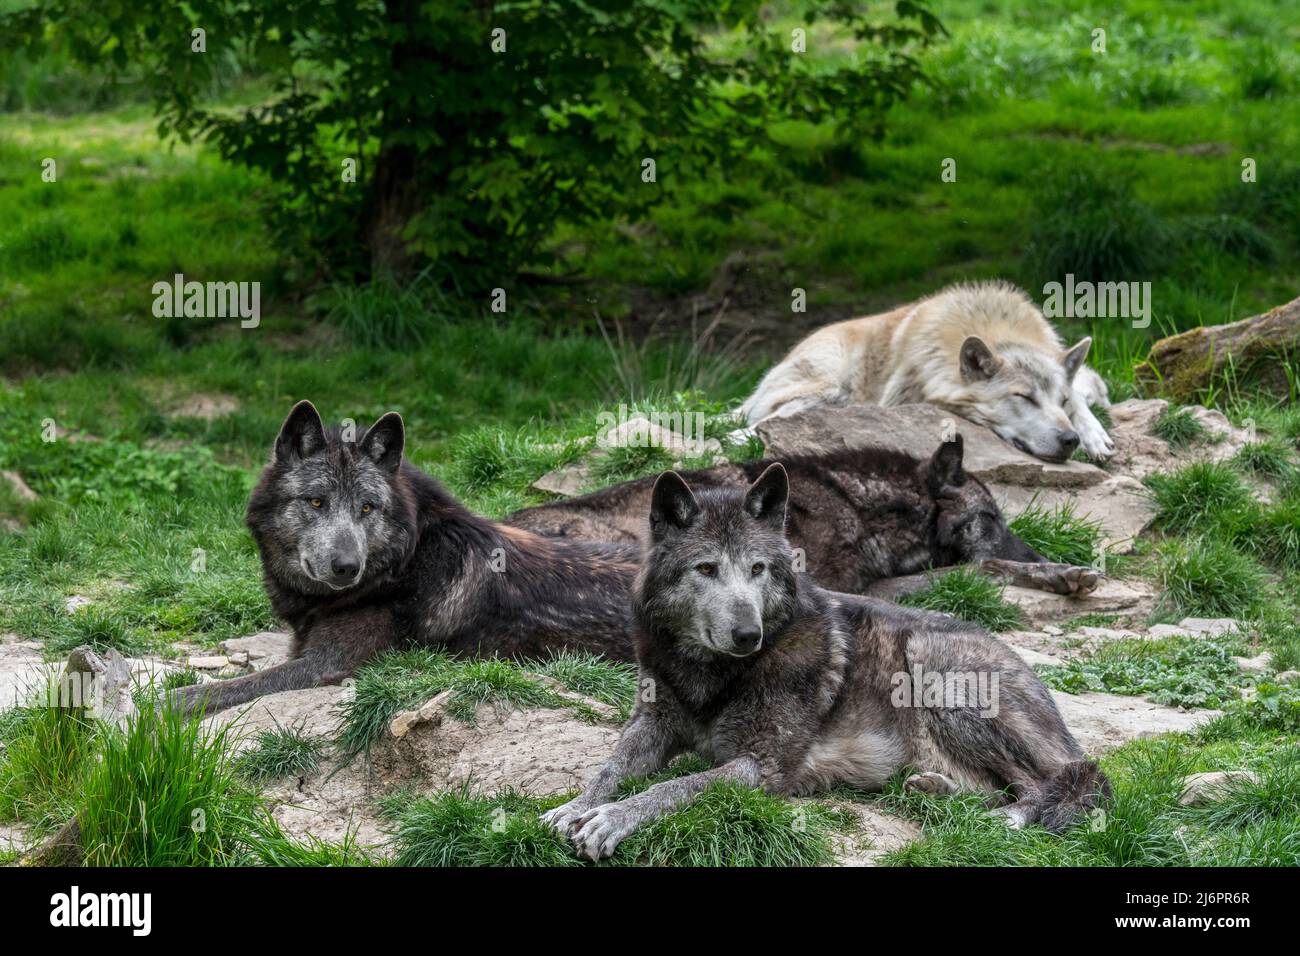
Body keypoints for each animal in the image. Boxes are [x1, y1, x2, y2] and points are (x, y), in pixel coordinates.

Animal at [175, 401, 640, 716]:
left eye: (367, 508)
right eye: (316, 501)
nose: (347, 567)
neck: (403, 564)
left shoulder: (327, 666)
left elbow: (230, 686)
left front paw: (172, 700)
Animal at [507, 435, 1099, 597]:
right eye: (992, 519)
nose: (1039, 551)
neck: (857, 504)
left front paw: (1063, 572)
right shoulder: (854, 587)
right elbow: (981, 567)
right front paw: (1053, 572)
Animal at [543, 466, 1110, 860]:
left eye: (757, 569)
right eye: (705, 569)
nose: (749, 634)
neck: (713, 673)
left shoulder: (762, 767)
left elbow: (673, 786)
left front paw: (611, 819)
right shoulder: (652, 723)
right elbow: (611, 766)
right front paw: (572, 807)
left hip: (936, 671)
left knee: (1063, 780)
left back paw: (1003, 821)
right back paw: (937, 790)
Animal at [738, 281, 1115, 462]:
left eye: (1060, 400)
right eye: (1023, 397)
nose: (1070, 440)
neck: (997, 327)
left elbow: (1083, 401)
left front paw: (1094, 435)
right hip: (828, 390)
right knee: (756, 423)